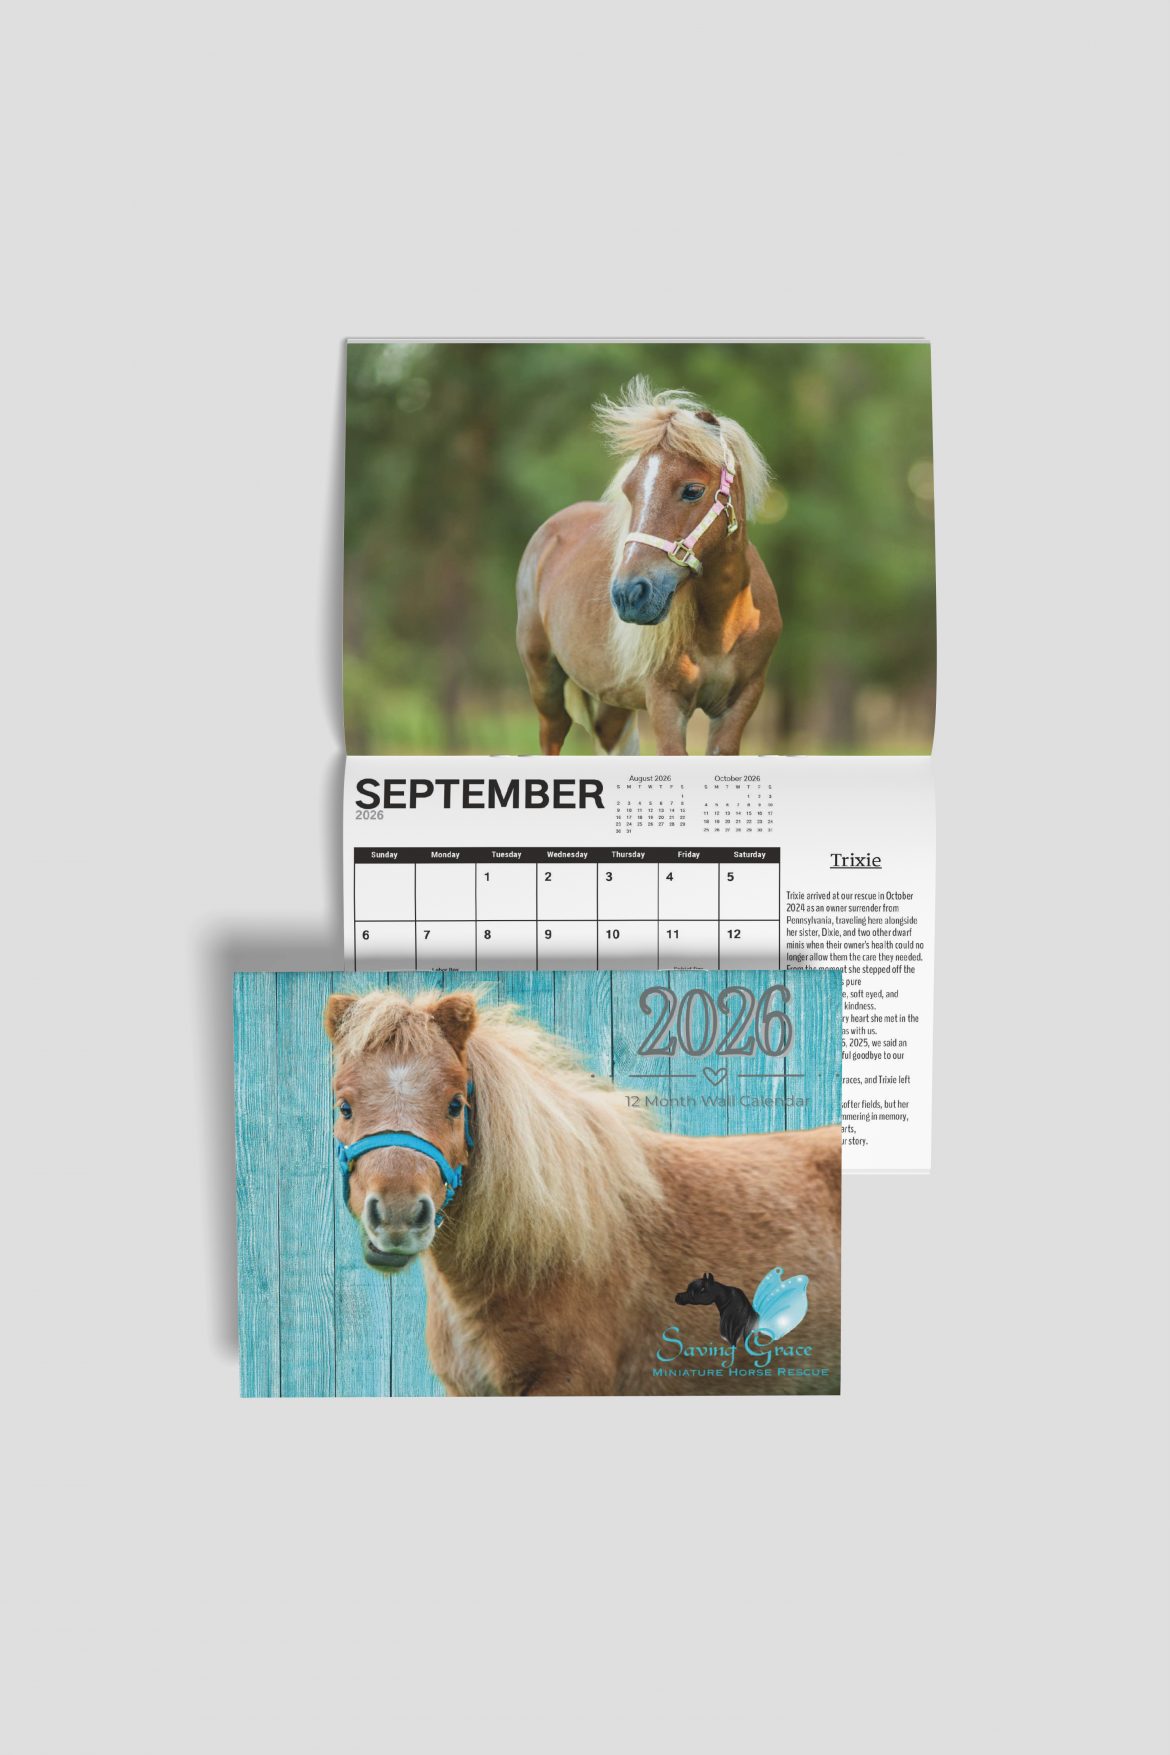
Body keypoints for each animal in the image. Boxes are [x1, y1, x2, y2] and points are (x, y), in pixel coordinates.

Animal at [515, 378, 782, 756]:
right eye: (629, 491)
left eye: (692, 490)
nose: (628, 594)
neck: (724, 622)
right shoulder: (665, 703)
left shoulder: (741, 702)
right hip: (544, 682)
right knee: (552, 734)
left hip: (613, 702)